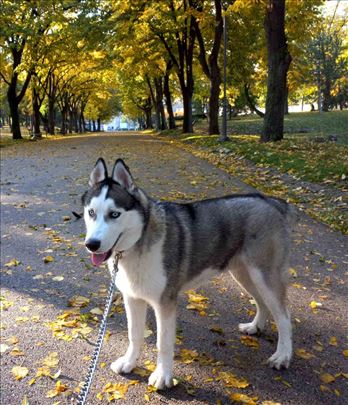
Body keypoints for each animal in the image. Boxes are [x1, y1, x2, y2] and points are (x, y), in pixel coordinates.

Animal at [82, 158, 296, 388]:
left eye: (114, 214)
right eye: (91, 212)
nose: (91, 244)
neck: (138, 243)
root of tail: (271, 202)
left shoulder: (165, 303)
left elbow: (163, 343)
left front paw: (162, 376)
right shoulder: (132, 298)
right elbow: (134, 334)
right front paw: (129, 363)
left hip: (265, 276)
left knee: (284, 317)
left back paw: (282, 356)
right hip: (244, 275)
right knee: (262, 302)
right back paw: (255, 327)